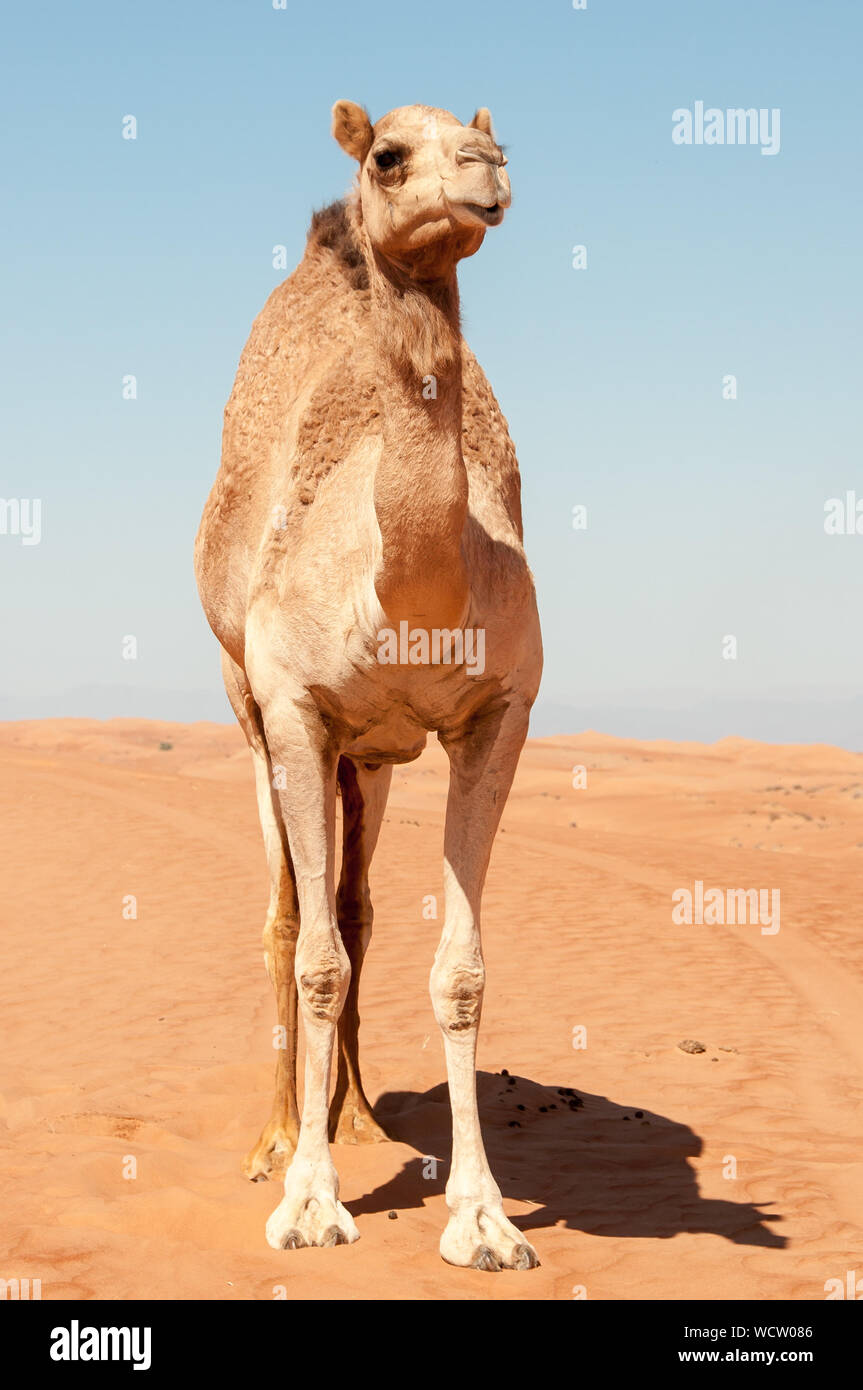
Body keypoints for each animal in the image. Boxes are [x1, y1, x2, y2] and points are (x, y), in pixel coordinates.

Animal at [194, 100, 543, 1271]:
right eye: (389, 155)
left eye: (489, 140)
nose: (485, 170)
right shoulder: (296, 707)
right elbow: (310, 956)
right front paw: (308, 1201)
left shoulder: (499, 713)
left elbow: (458, 969)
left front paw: (481, 1217)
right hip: (249, 710)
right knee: (286, 914)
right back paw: (275, 1138)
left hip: (372, 759)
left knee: (352, 904)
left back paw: (352, 1116)